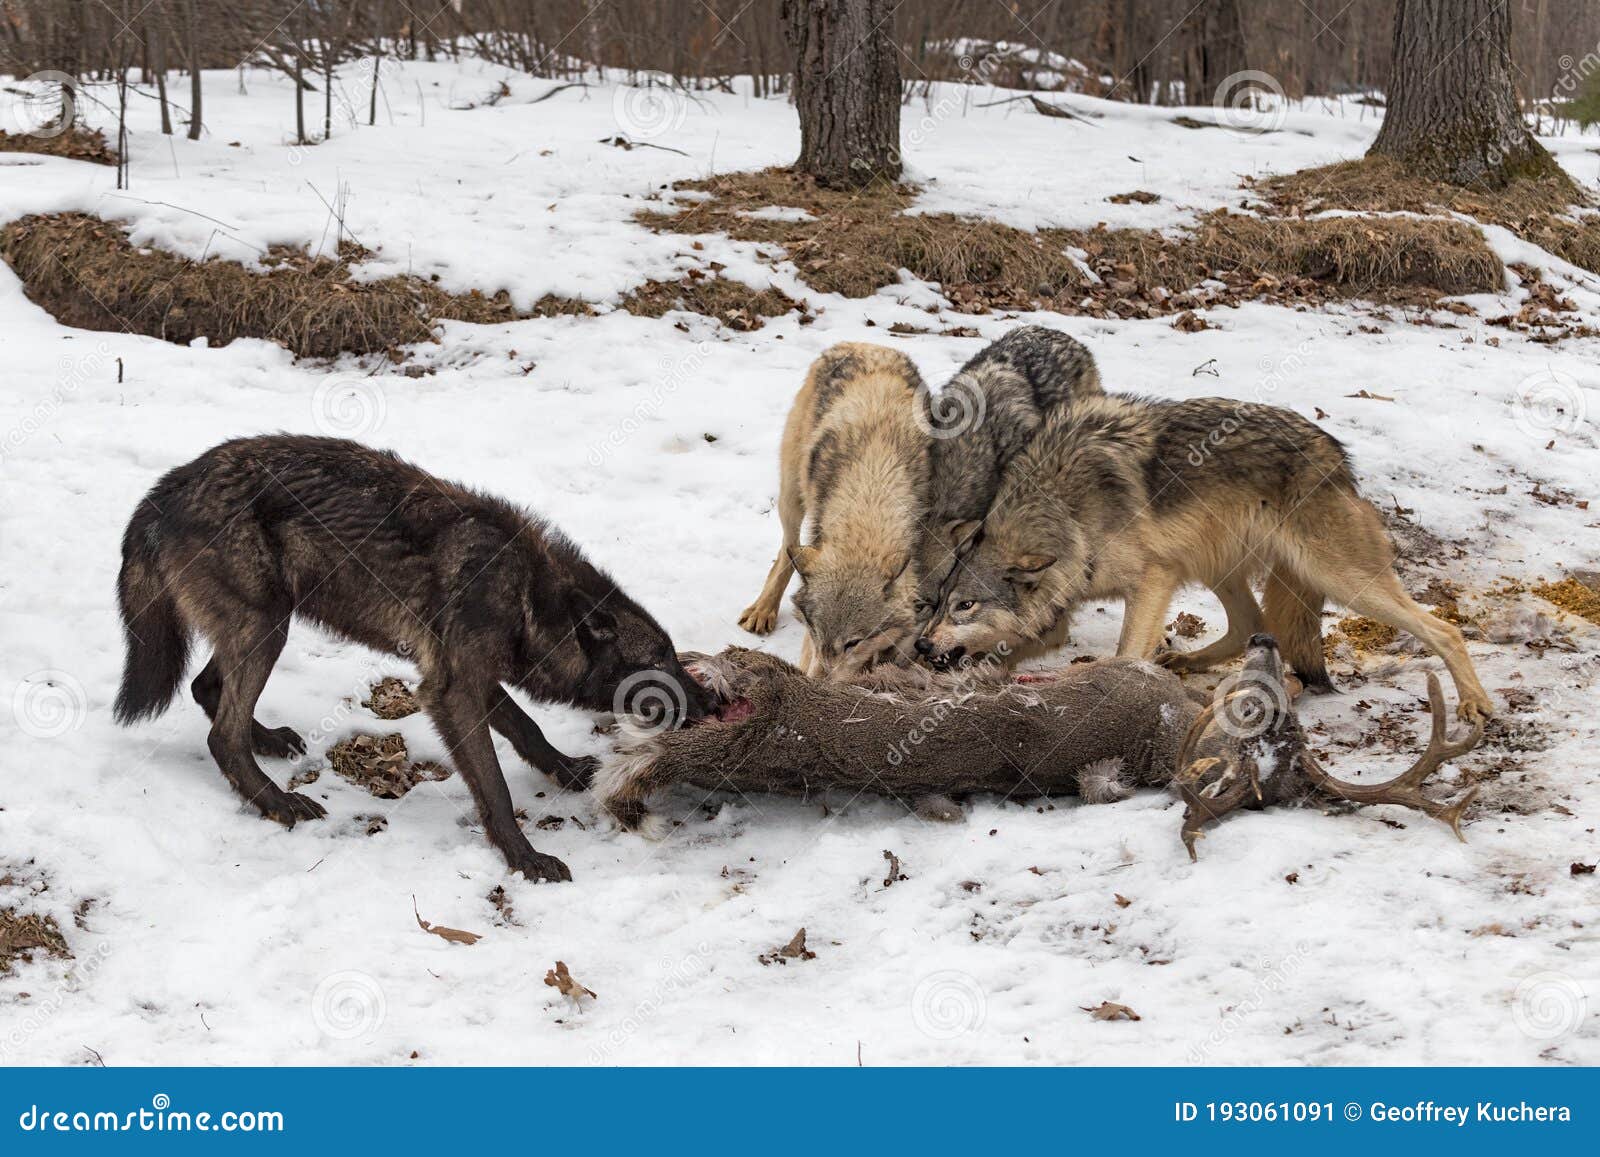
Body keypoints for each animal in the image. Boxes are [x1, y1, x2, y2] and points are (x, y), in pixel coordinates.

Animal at [113, 434, 712, 882]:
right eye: (663, 661)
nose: (713, 703)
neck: (528, 593)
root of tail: (167, 487)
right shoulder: (452, 689)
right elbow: (495, 786)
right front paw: (523, 857)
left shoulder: (465, 677)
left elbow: (527, 728)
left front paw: (565, 769)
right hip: (268, 628)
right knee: (221, 735)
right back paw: (278, 802)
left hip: (265, 625)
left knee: (206, 690)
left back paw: (270, 741)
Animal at [736, 343, 928, 679]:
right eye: (814, 631)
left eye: (853, 642)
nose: (817, 684)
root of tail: (864, 344)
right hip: (792, 496)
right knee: (787, 550)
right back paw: (763, 609)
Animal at [918, 394, 1493, 723]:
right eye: (939, 602)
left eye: (966, 606)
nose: (921, 646)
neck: (1068, 513)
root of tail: (1337, 456)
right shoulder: (1074, 600)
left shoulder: (1153, 578)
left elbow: (1125, 651)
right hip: (1220, 567)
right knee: (1252, 624)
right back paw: (1185, 661)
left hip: (1342, 580)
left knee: (1443, 629)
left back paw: (1474, 702)